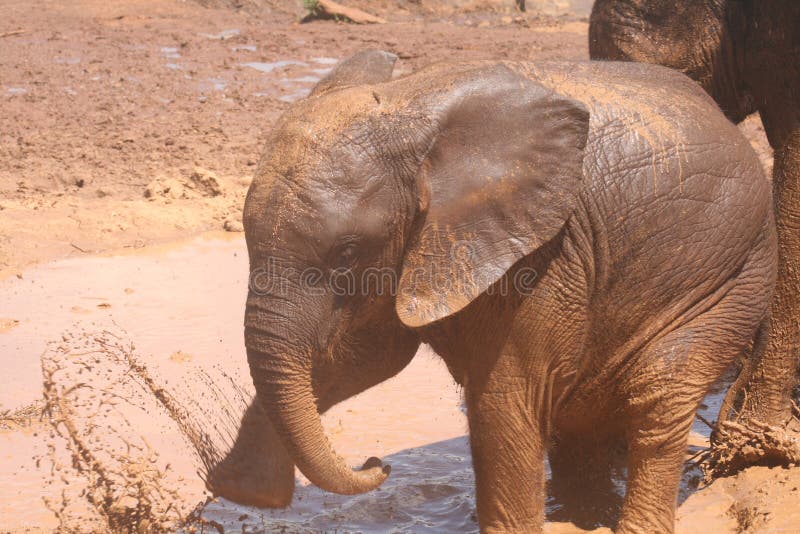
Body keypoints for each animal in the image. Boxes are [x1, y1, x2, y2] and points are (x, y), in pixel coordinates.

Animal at [209, 51, 776, 532]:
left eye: (347, 251)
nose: (377, 461)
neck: (409, 103)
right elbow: (361, 359)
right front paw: (243, 489)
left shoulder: (545, 253)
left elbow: (505, 401)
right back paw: (579, 514)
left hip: (736, 275)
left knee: (657, 392)